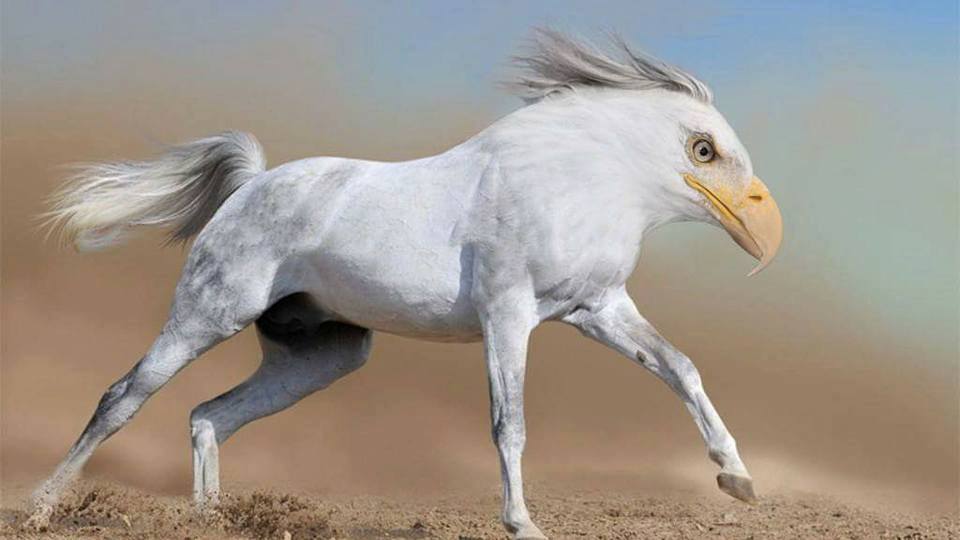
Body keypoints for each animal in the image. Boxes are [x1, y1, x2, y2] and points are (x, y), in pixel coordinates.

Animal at [29, 30, 782, 539]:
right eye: (703, 150)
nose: (765, 238)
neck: (575, 178)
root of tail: (249, 185)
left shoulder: (596, 308)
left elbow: (680, 367)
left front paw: (737, 479)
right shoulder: (507, 314)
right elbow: (509, 423)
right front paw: (522, 523)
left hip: (325, 354)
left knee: (209, 415)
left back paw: (211, 518)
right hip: (206, 315)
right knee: (122, 398)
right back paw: (41, 506)